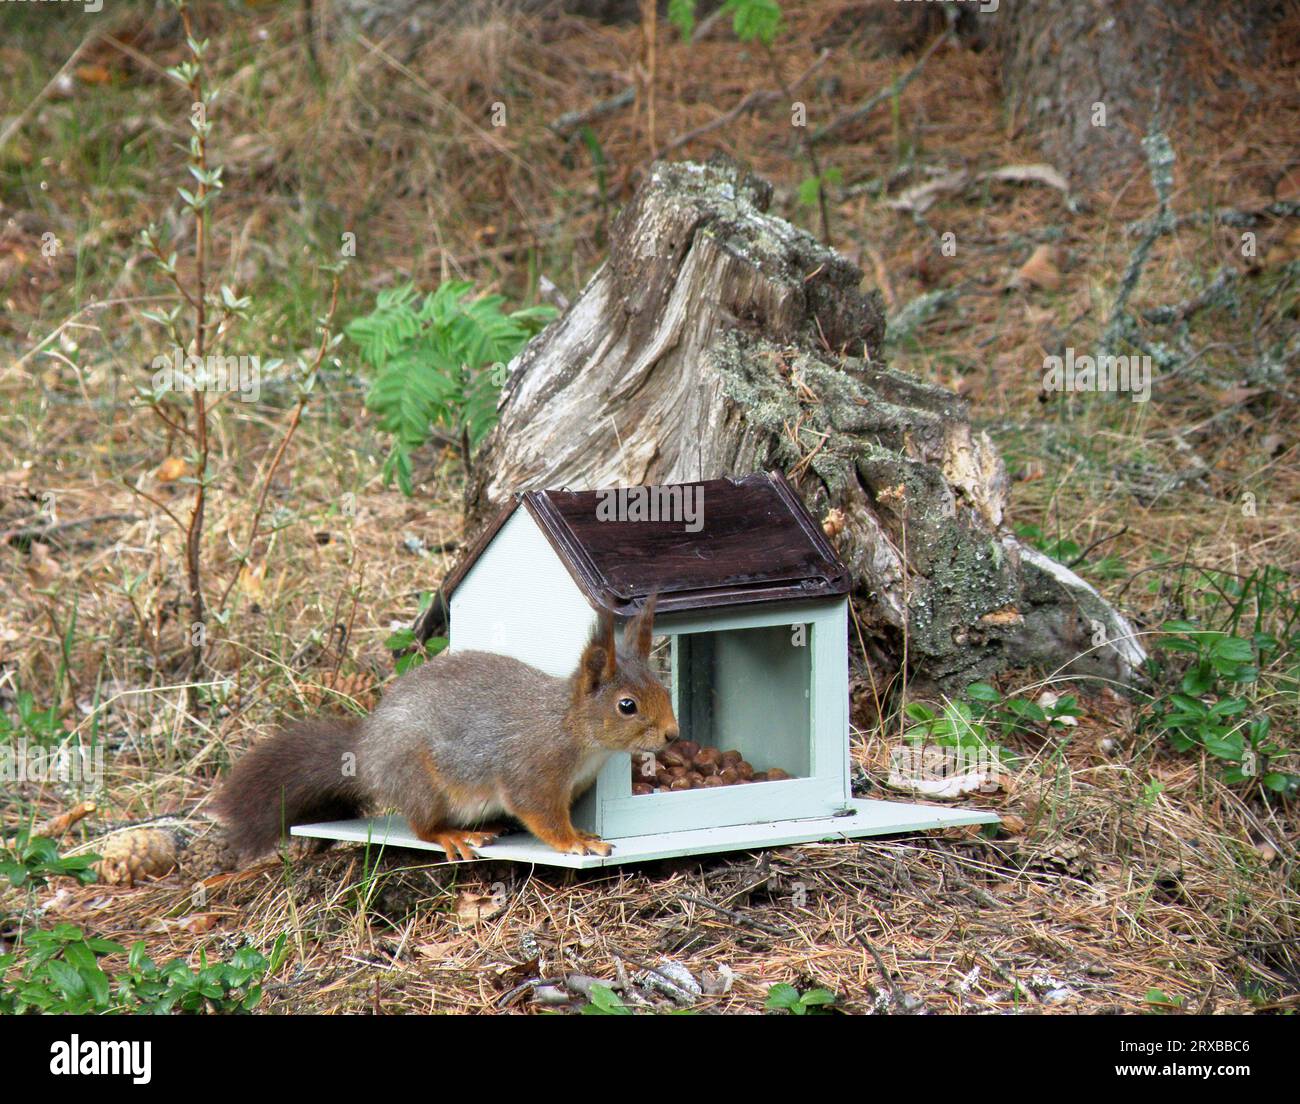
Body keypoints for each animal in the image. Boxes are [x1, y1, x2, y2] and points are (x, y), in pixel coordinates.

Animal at [214, 596, 678, 861]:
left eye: (663, 688)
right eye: (627, 706)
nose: (673, 734)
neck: (571, 727)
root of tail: (365, 758)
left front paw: (580, 831)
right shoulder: (531, 773)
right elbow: (541, 816)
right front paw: (574, 842)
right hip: (419, 780)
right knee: (422, 827)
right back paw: (453, 835)